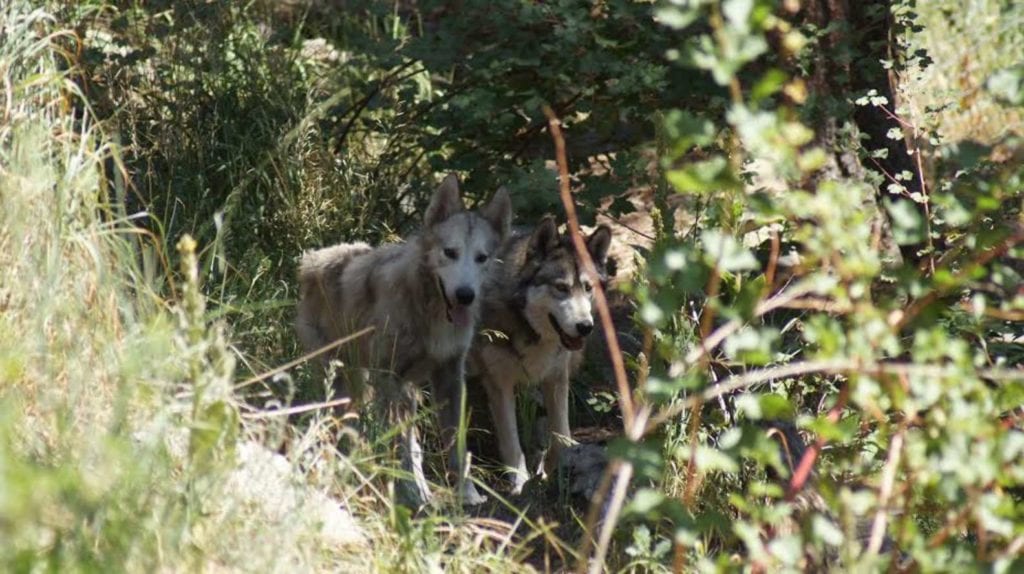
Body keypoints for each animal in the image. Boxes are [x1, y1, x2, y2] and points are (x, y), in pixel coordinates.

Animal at [295, 174, 511, 507]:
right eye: (450, 252)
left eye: (481, 258)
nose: (465, 295)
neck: (429, 311)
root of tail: (314, 259)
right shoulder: (389, 379)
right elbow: (399, 447)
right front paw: (410, 497)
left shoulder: (450, 377)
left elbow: (455, 445)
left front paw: (467, 494)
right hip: (343, 384)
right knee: (339, 430)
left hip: (398, 393)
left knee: (408, 443)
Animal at [469, 216, 611, 494]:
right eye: (561, 288)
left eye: (588, 288)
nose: (585, 327)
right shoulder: (498, 384)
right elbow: (512, 442)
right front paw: (520, 484)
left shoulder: (556, 378)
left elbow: (561, 433)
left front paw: (556, 471)